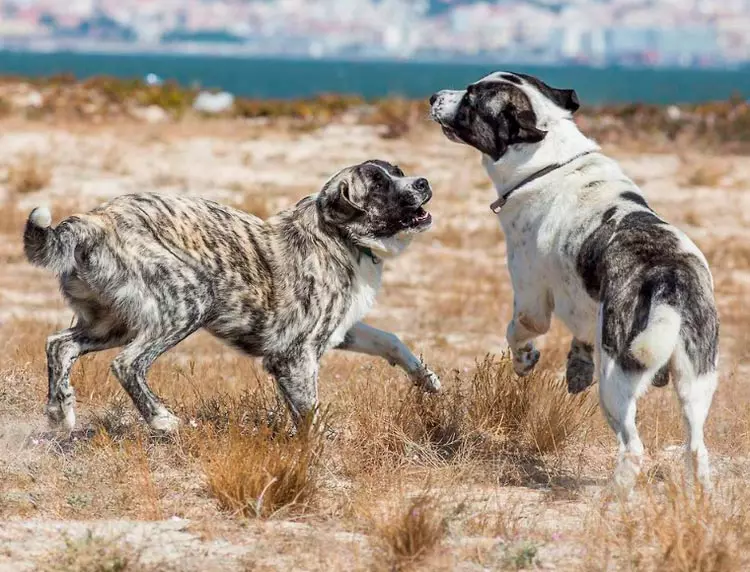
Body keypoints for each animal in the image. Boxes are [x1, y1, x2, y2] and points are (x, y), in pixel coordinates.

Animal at [432, 71, 720, 492]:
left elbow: (516, 333)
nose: (433, 96)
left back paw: (614, 495)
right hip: (697, 379)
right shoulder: (583, 308)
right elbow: (580, 338)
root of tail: (668, 277)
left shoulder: (531, 301)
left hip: (616, 381)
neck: (548, 160)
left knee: (633, 448)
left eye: (471, 99)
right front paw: (575, 368)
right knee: (697, 448)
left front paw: (525, 361)